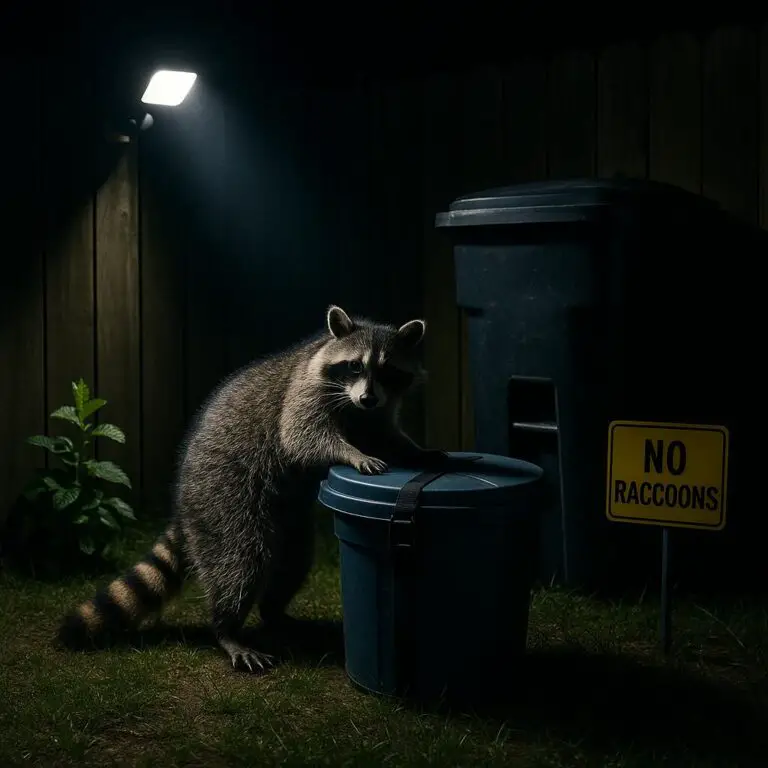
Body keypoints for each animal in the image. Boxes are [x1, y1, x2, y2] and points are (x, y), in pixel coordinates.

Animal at [58, 305, 437, 672]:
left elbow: (386, 436)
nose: (368, 398)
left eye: (388, 371)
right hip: (222, 496)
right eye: (355, 366)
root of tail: (183, 502)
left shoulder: (376, 411)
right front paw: (353, 453)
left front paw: (416, 451)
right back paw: (226, 629)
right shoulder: (304, 391)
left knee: (293, 561)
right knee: (241, 562)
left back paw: (273, 611)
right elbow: (302, 438)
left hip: (286, 520)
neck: (352, 402)